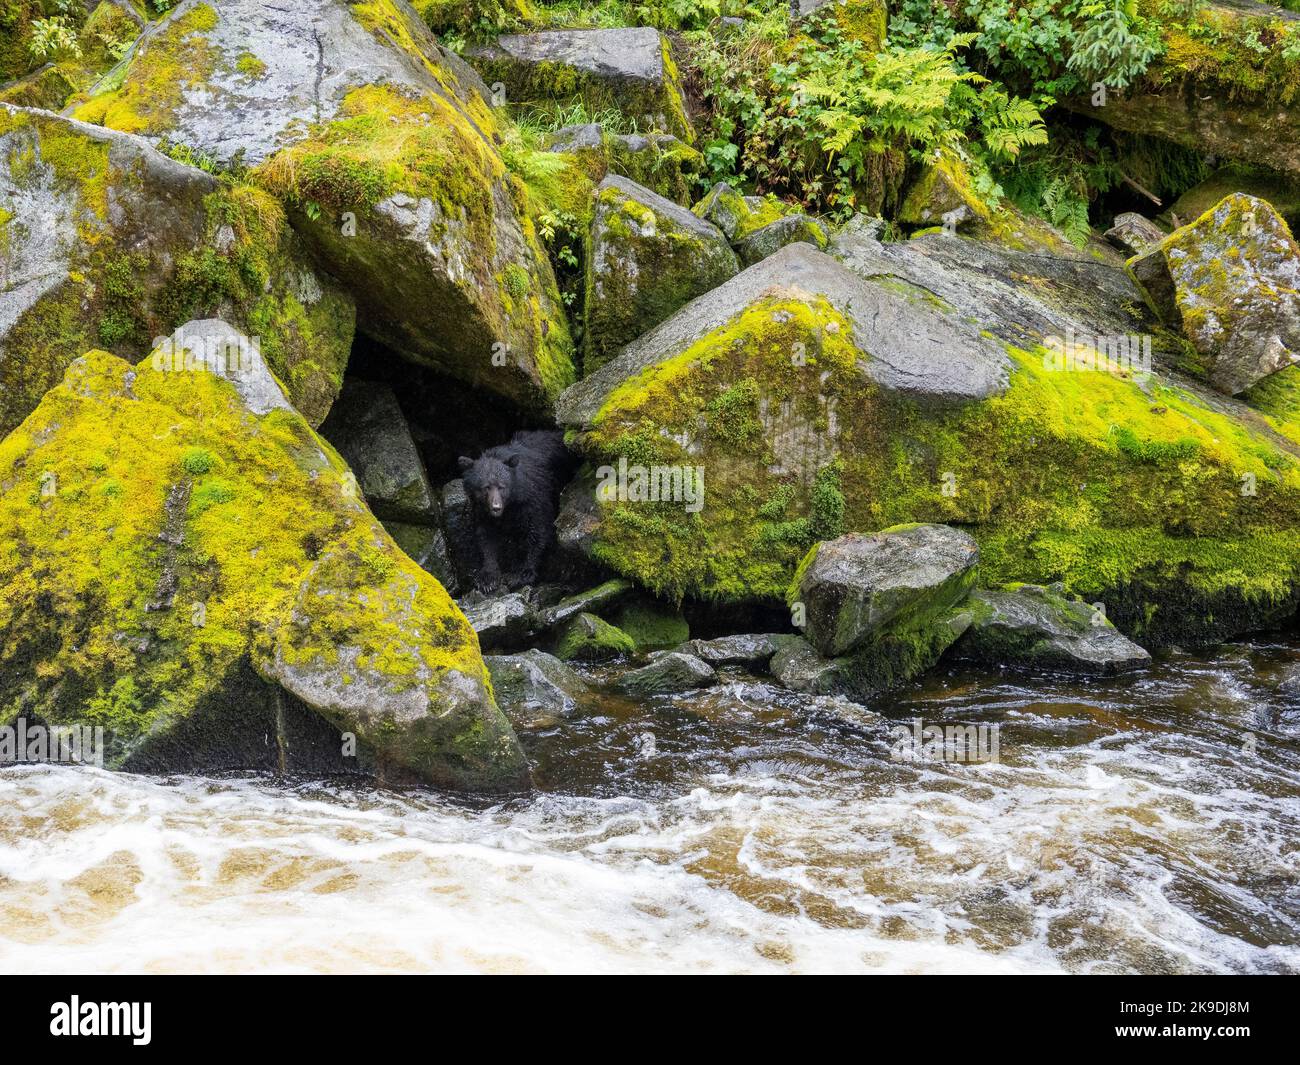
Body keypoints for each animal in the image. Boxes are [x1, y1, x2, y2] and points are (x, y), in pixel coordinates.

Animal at [457, 429, 574, 593]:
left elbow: (538, 529)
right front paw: (487, 578)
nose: (496, 507)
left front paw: (523, 573)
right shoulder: (482, 511)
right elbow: (486, 537)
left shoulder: (534, 498)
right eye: (485, 487)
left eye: (502, 486)